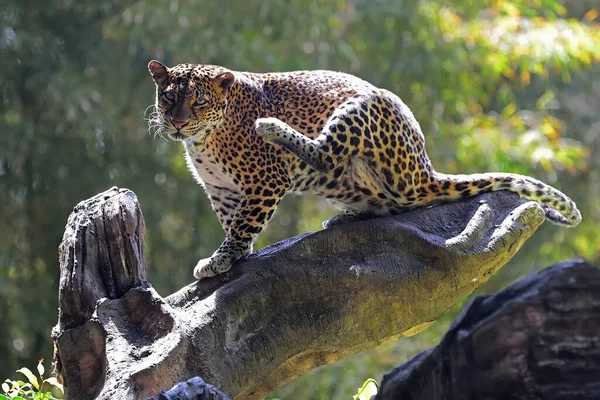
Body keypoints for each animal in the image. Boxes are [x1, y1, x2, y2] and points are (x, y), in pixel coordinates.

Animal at [146, 59, 580, 280]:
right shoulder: (222, 190)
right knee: (389, 204)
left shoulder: (264, 181)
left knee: (323, 153)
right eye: (168, 98)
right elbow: (232, 220)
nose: (178, 123)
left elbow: (243, 223)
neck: (201, 139)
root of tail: (424, 167)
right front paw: (234, 253)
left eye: (199, 102)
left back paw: (272, 128)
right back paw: (346, 218)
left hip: (362, 107)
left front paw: (225, 256)